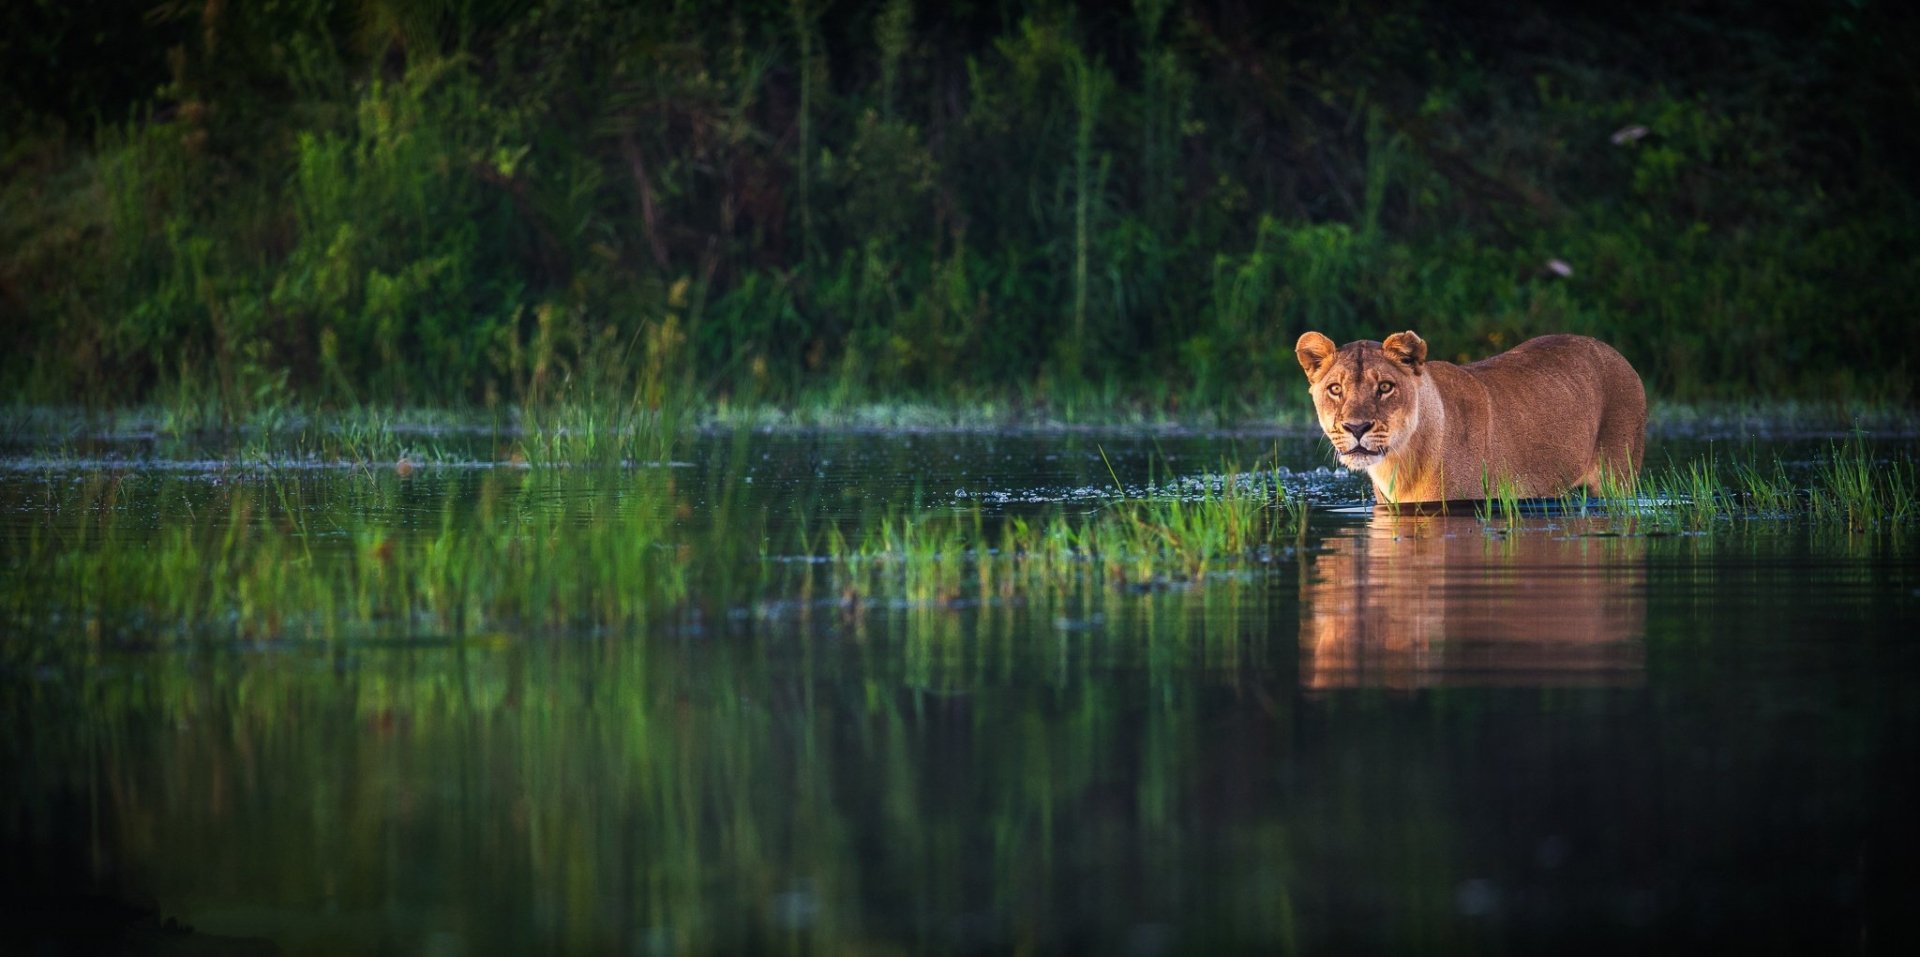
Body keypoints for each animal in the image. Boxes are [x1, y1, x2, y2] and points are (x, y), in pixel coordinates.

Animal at [1294, 330, 1646, 505]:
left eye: (1384, 387)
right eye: (1335, 389)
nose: (1356, 427)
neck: (1400, 463)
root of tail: (1616, 353)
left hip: (1618, 478)